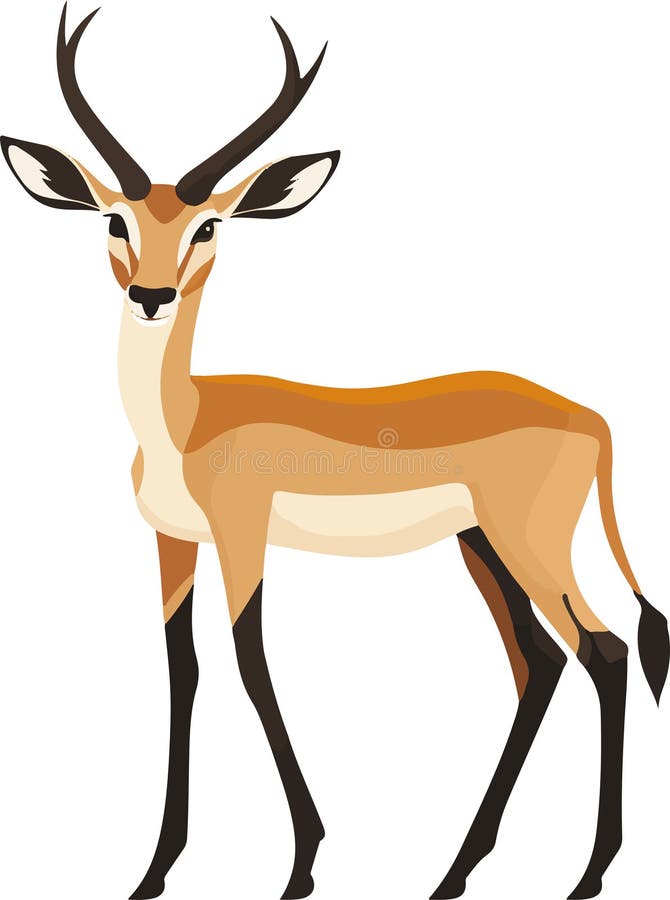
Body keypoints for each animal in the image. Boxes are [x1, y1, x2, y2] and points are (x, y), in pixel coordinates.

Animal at [2, 5, 668, 900]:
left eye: (209, 224)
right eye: (116, 219)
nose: (151, 295)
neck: (187, 422)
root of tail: (593, 418)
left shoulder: (244, 537)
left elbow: (250, 662)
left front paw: (302, 867)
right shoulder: (172, 541)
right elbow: (183, 668)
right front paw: (153, 873)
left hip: (530, 543)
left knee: (605, 650)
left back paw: (587, 876)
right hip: (481, 545)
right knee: (538, 664)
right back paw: (453, 874)